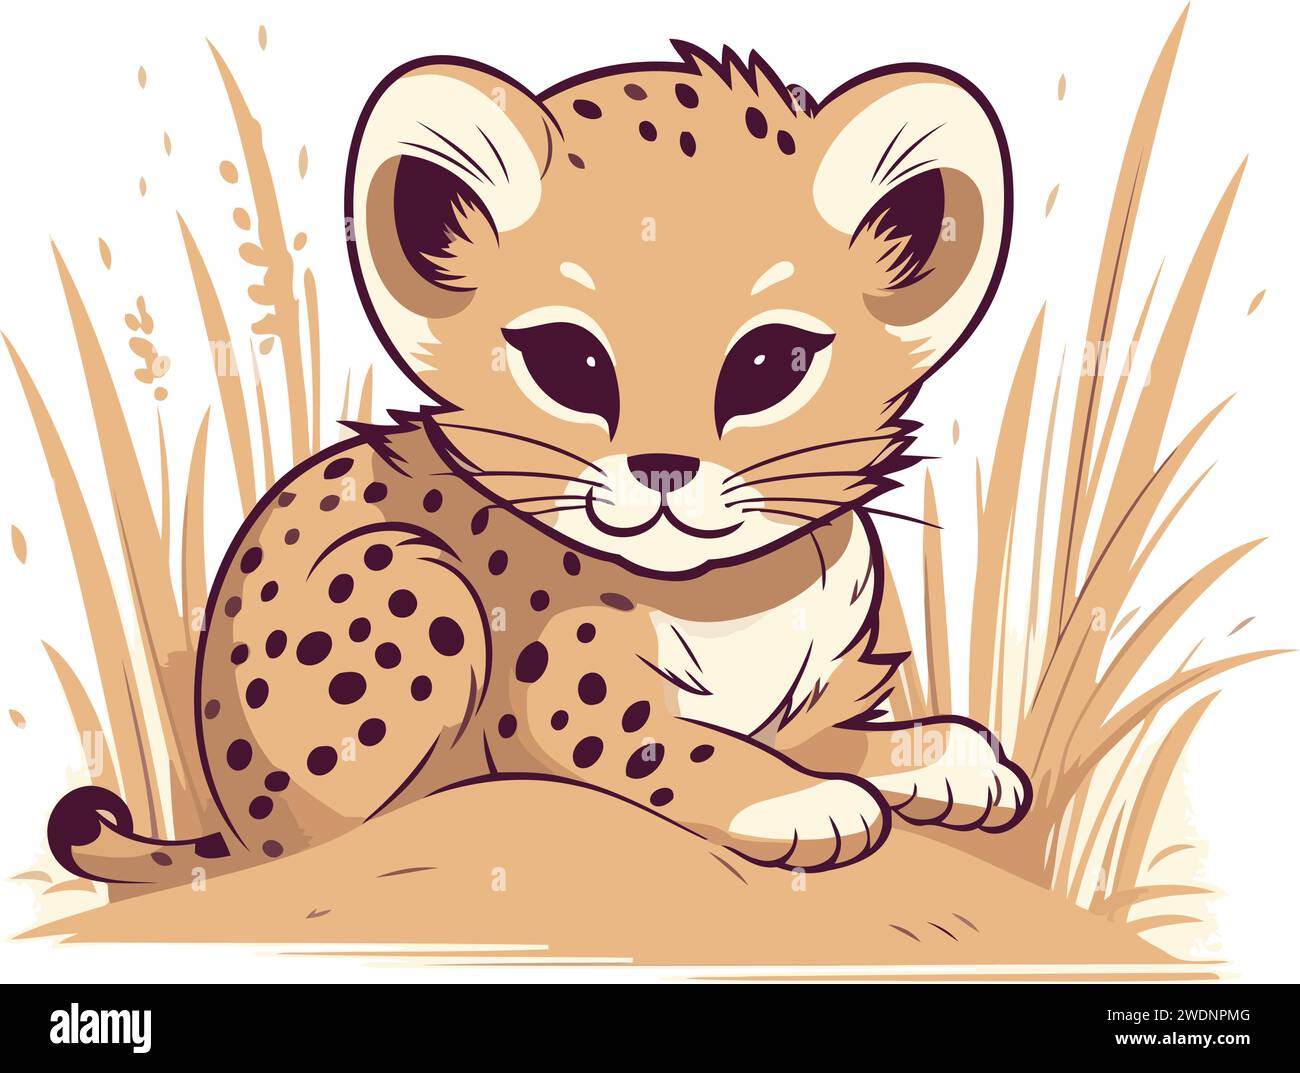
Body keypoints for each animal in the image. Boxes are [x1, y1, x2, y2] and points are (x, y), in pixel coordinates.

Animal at [48, 42, 1029, 887]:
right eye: (570, 362)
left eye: (770, 363)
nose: (664, 468)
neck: (732, 592)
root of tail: (237, 827)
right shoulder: (570, 702)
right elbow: (683, 744)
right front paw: (799, 800)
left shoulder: (805, 704)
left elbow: (828, 733)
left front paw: (943, 753)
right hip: (411, 582)